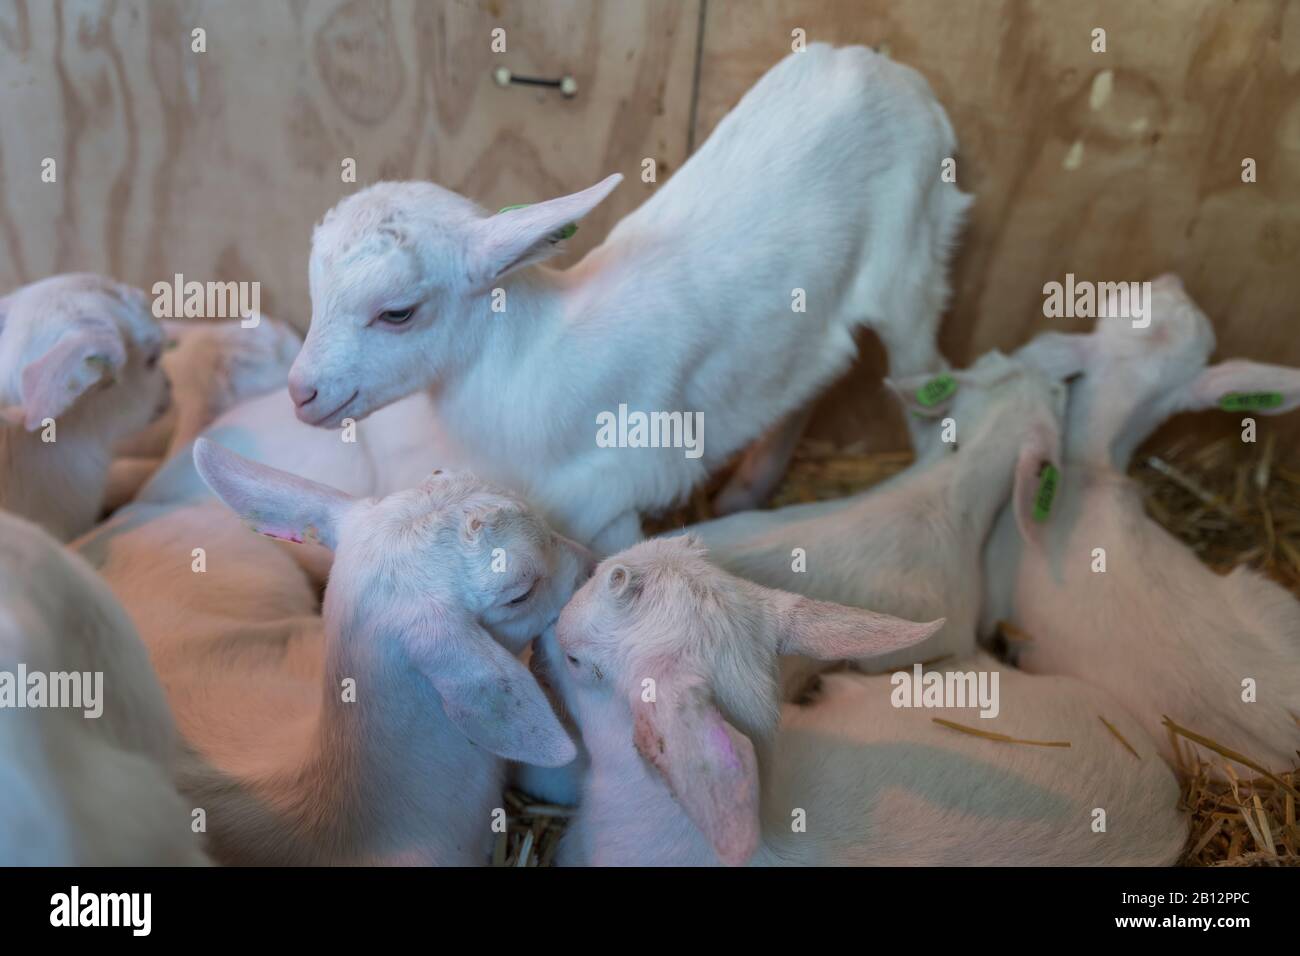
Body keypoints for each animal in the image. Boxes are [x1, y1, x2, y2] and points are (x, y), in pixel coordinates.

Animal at [288, 44, 972, 554]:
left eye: (398, 312)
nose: (301, 393)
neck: (528, 356)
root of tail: (885, 67)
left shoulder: (612, 488)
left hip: (914, 250)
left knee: (927, 383)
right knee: (817, 374)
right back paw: (747, 492)